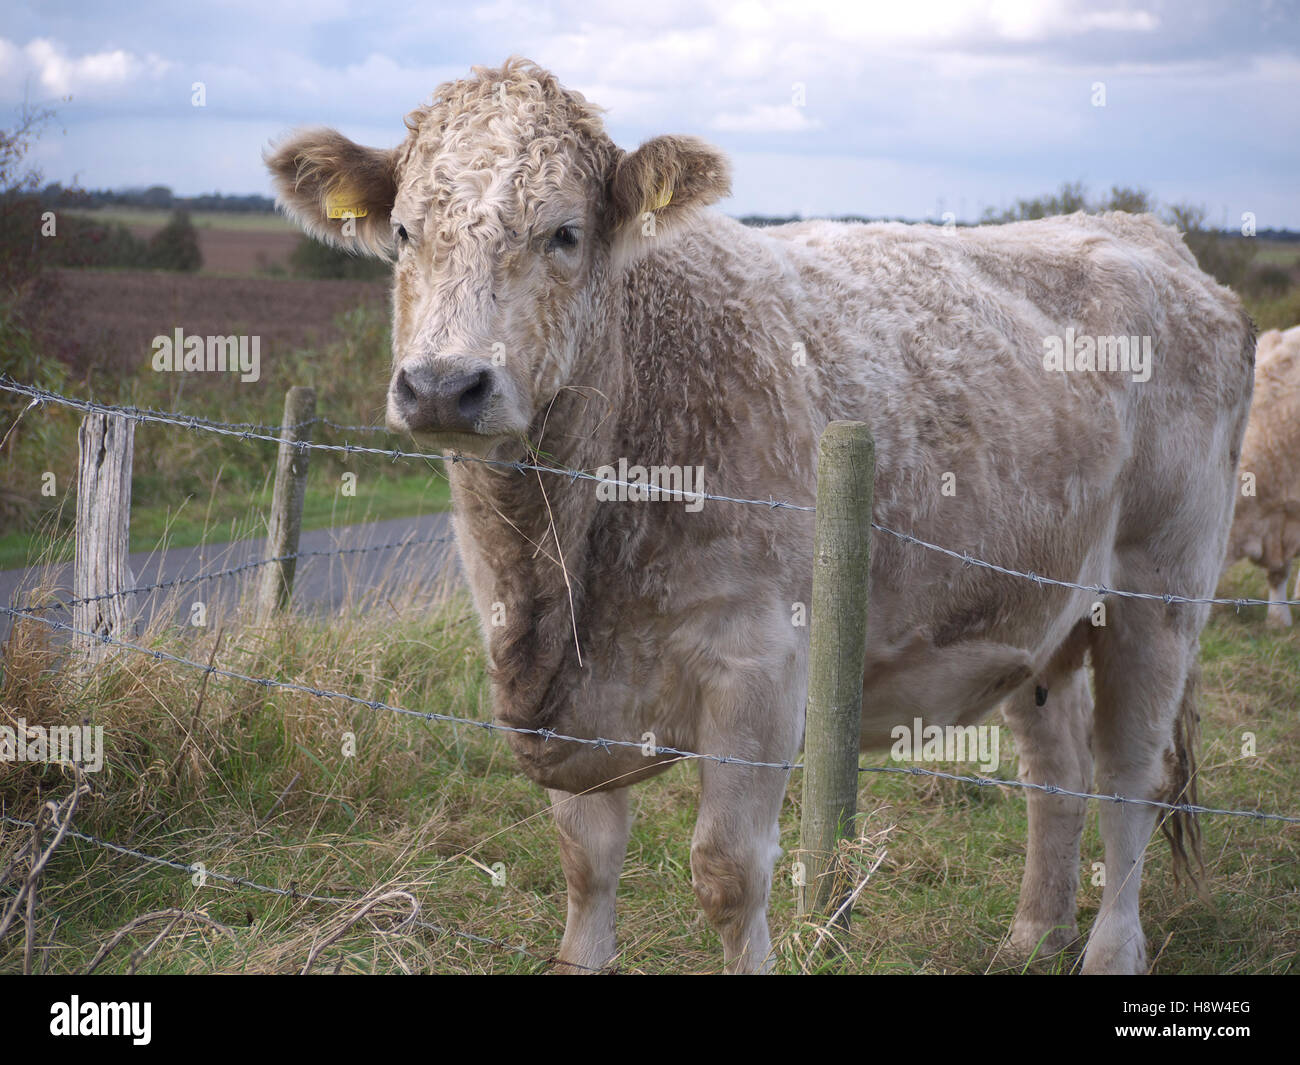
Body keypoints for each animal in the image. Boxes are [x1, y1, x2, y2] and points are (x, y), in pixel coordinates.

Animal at [267, 58, 1255, 974]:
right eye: (404, 232)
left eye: (564, 233)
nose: (443, 384)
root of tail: (1147, 232)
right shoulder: (569, 699)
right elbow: (585, 861)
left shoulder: (760, 662)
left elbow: (728, 871)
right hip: (1038, 604)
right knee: (1058, 770)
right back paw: (1032, 935)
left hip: (1160, 593)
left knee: (1130, 780)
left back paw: (1110, 950)